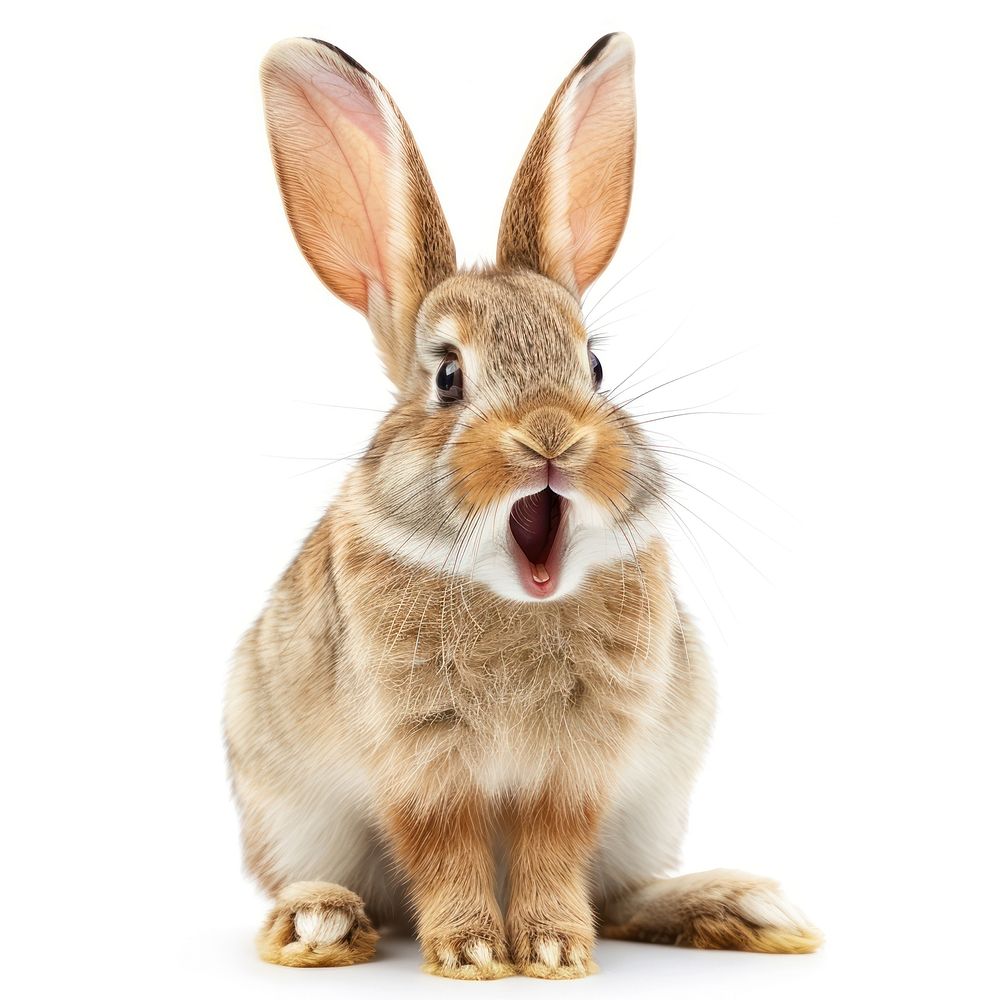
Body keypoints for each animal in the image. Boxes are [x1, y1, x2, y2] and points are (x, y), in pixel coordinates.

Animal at [224, 32, 821, 980]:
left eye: (596, 367)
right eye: (447, 377)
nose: (551, 435)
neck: (515, 597)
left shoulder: (580, 766)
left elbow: (553, 848)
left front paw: (548, 949)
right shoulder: (416, 752)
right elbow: (444, 847)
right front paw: (472, 950)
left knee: (621, 896)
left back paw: (744, 905)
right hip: (291, 810)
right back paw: (319, 921)